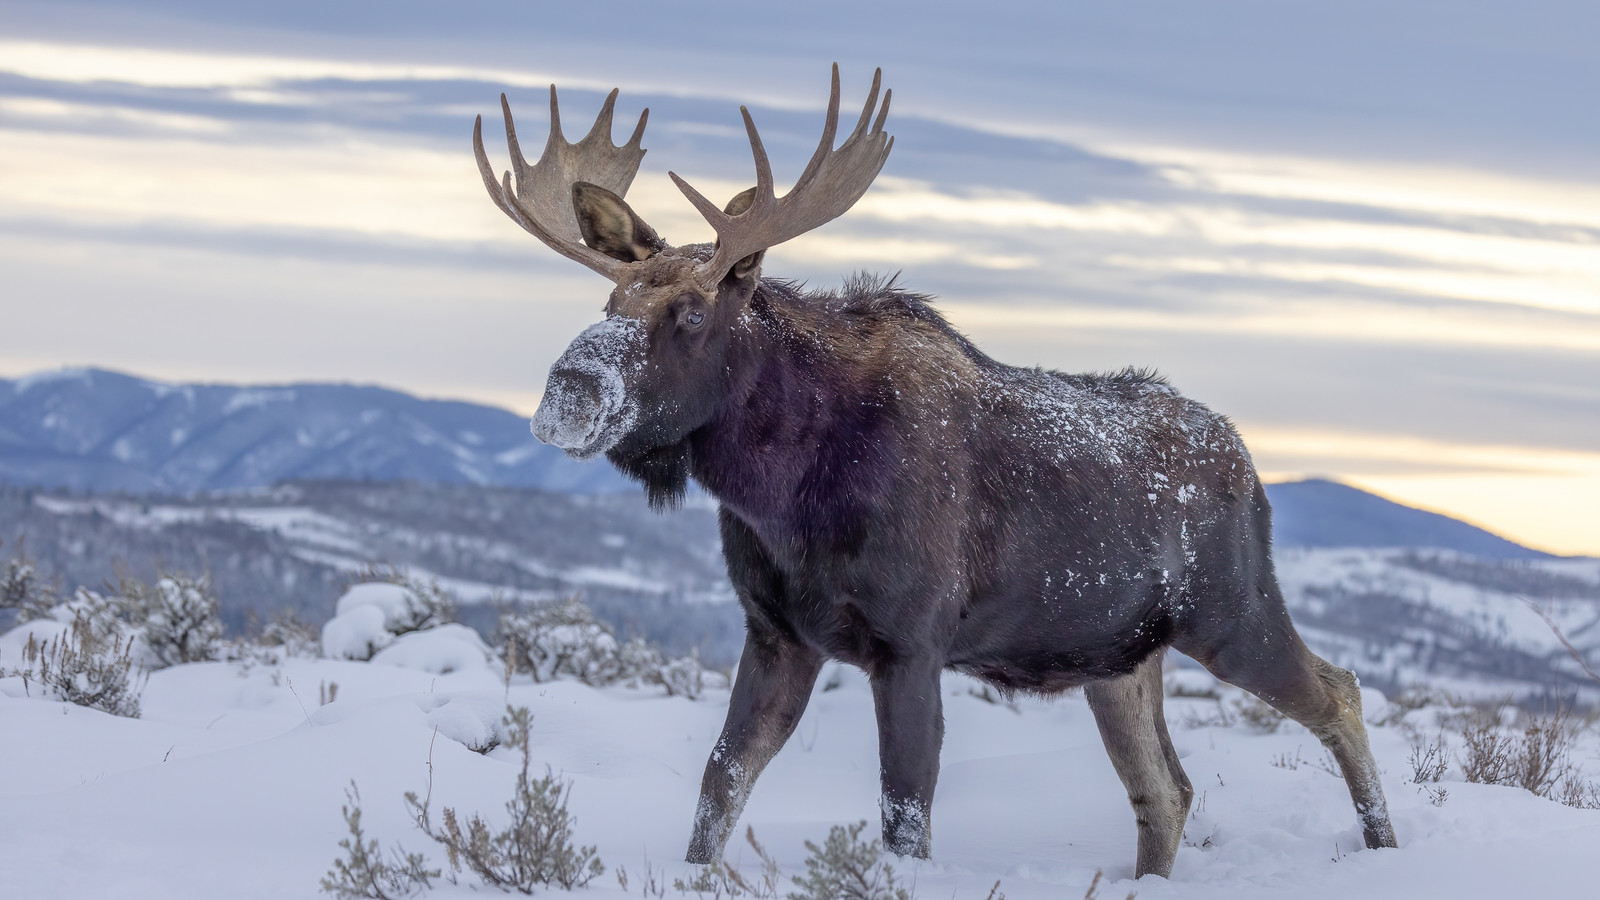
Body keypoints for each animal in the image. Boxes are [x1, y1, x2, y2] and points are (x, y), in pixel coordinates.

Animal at [473, 65, 1397, 879]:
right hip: (1120, 658)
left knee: (1341, 692)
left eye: (692, 312)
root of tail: (1249, 466)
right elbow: (719, 786)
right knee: (1167, 790)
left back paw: (1385, 849)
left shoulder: (911, 643)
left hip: (1232, 613)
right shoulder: (777, 633)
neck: (782, 490)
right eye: (609, 302)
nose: (567, 391)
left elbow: (904, 816)